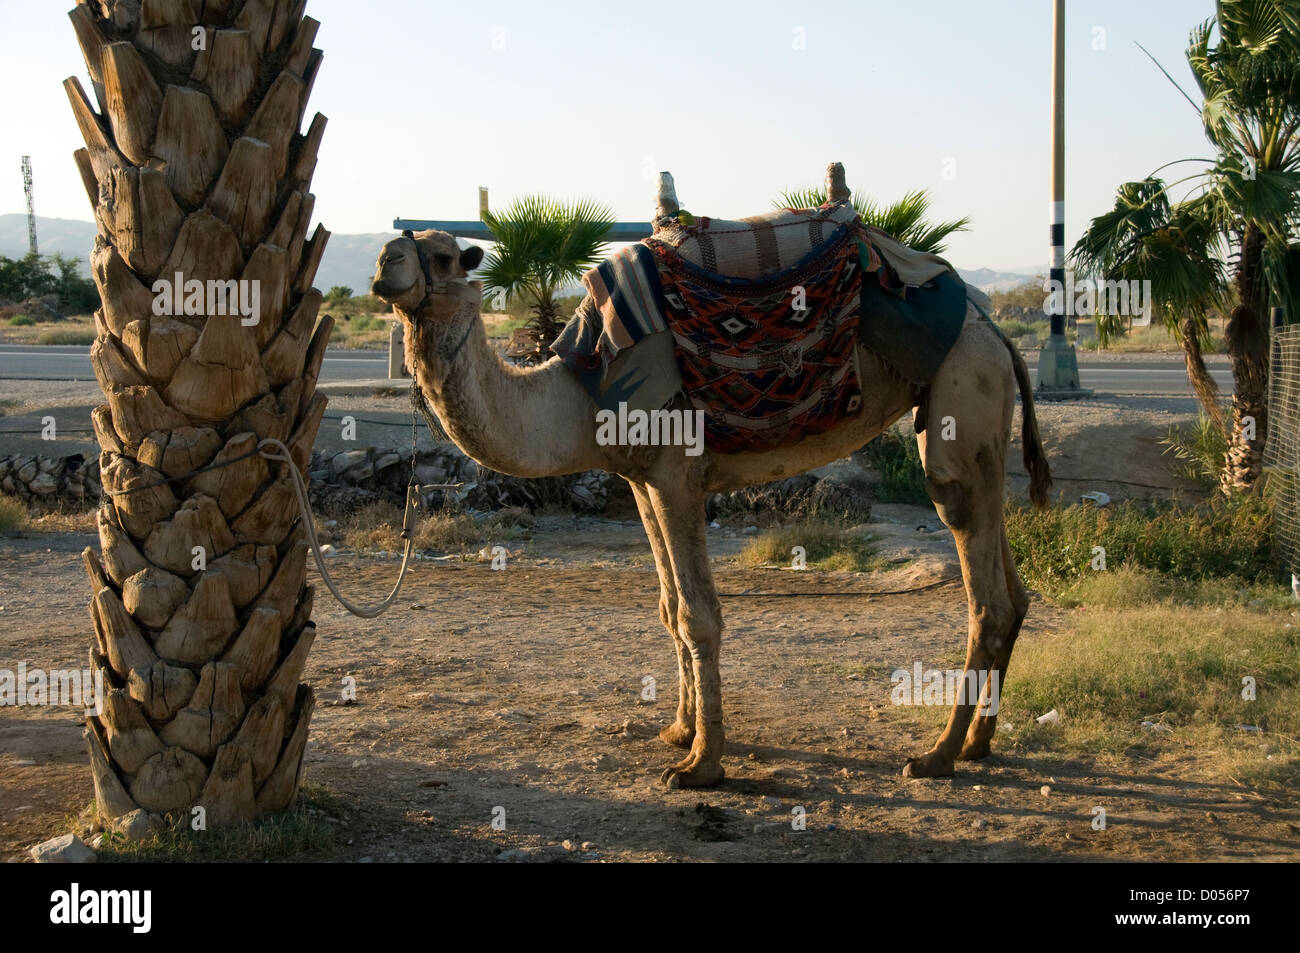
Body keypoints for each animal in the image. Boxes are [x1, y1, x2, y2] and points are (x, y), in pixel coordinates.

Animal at [370, 194, 1051, 789]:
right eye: (401, 246)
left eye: (443, 256)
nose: (384, 264)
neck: (578, 393)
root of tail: (998, 332)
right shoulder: (640, 480)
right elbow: (670, 608)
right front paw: (678, 730)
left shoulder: (676, 473)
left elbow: (699, 615)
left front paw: (701, 764)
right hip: (981, 425)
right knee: (1011, 586)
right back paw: (978, 744)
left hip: (961, 400)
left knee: (983, 589)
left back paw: (936, 756)